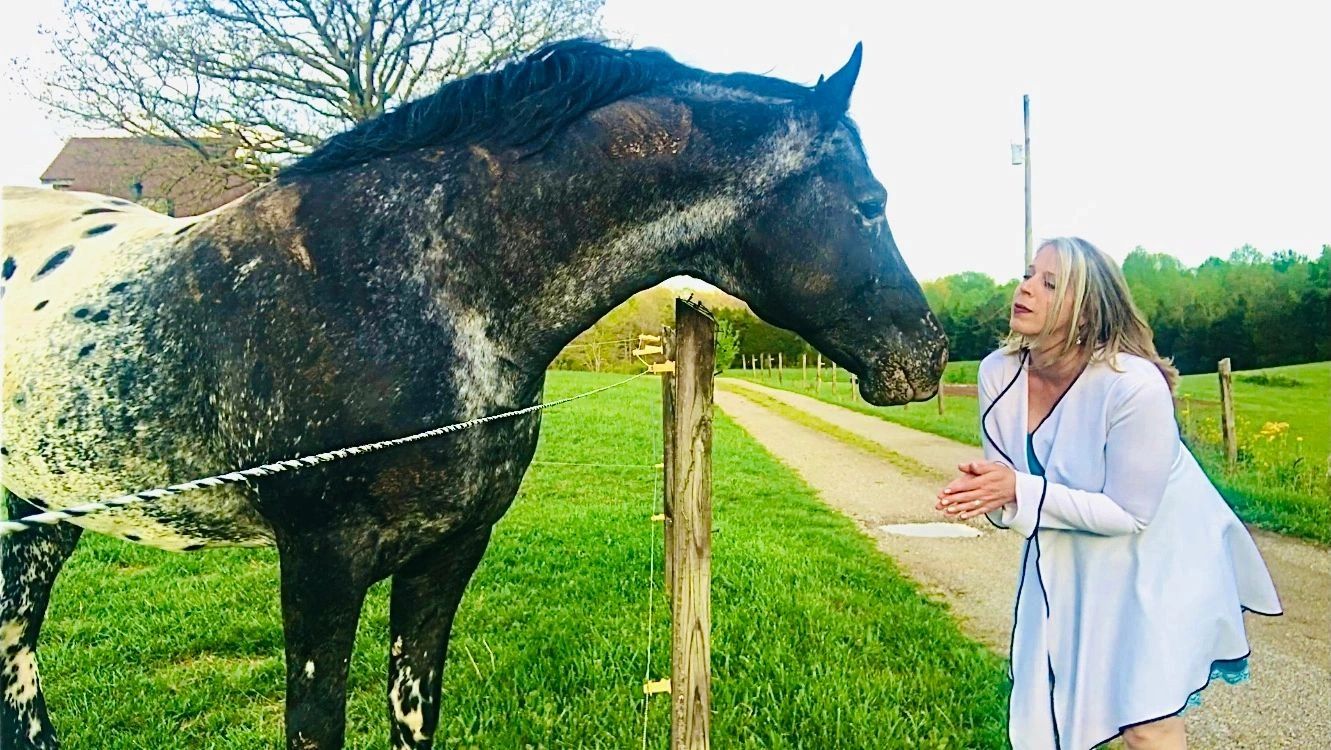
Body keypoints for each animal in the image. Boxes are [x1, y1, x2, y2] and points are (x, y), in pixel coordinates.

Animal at [0, 39, 948, 749]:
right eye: (869, 202)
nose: (928, 356)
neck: (421, 286)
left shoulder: (447, 554)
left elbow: (415, 715)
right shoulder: (320, 563)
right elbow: (314, 725)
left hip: (40, 515)